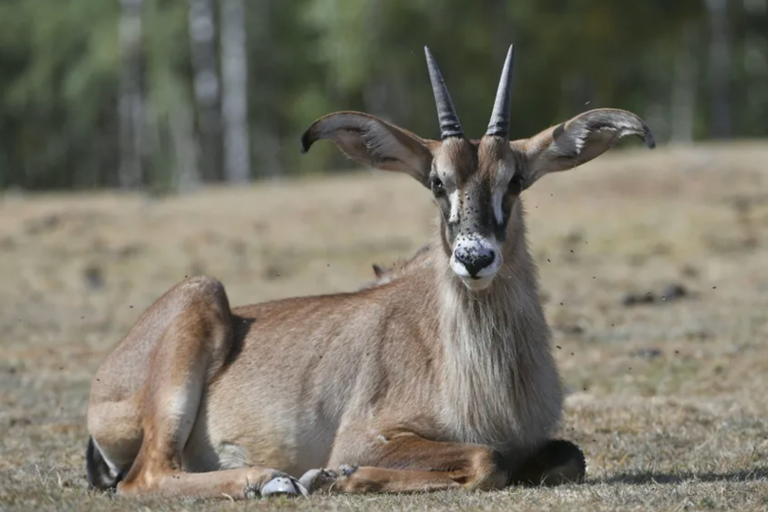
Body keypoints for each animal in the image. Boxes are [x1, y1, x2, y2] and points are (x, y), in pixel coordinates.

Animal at [85, 45, 655, 499]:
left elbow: (567, 458)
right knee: (146, 476)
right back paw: (268, 479)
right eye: (437, 182)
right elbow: (483, 457)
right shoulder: (365, 436)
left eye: (514, 181)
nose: (474, 258)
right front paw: (336, 476)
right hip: (198, 304)